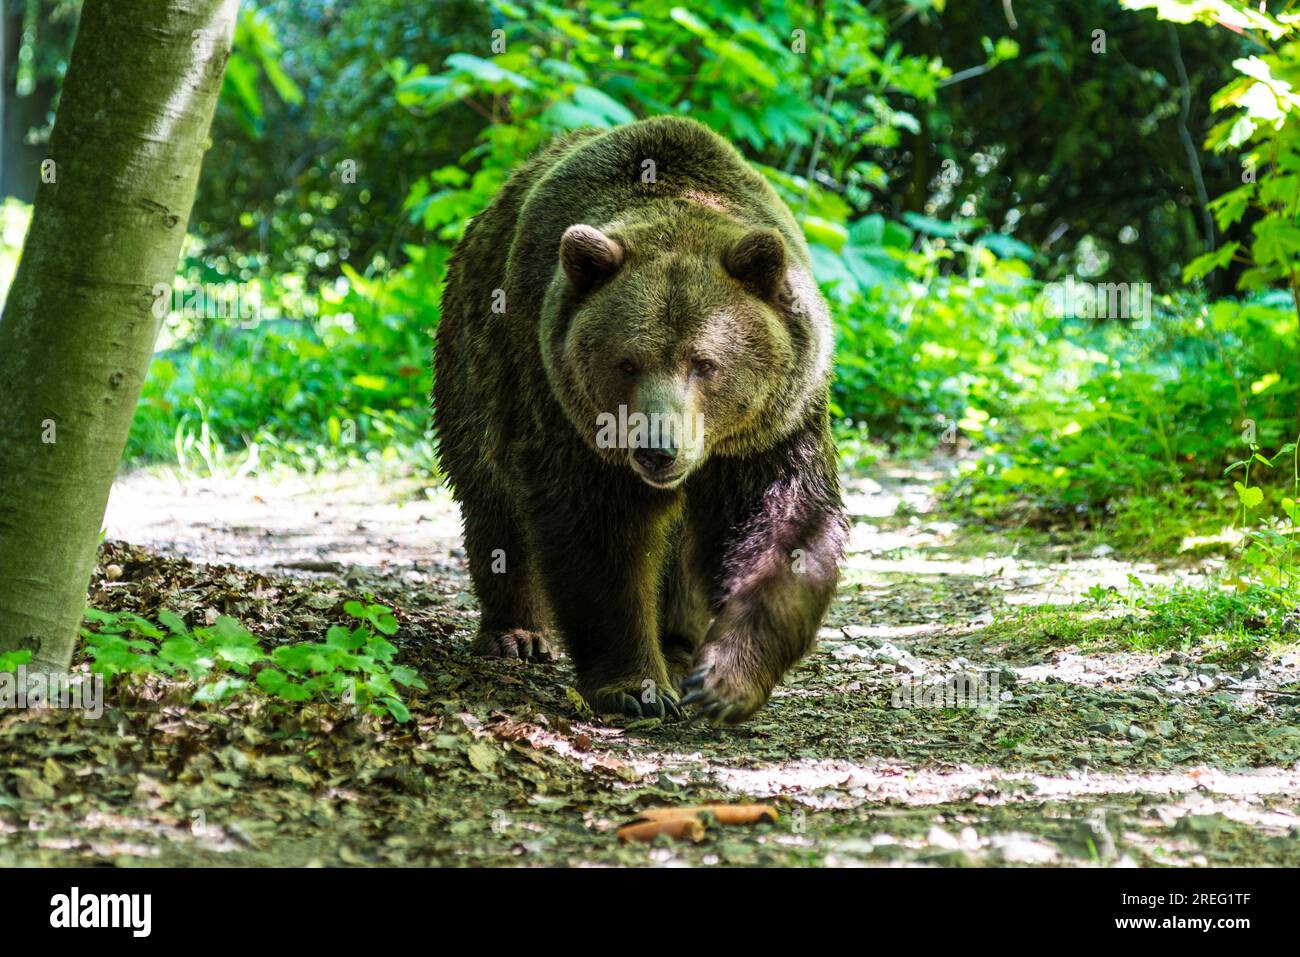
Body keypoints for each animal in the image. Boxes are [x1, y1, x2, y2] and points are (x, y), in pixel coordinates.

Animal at [433, 116, 847, 724]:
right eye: (627, 361)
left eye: (705, 363)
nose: (657, 448)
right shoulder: (568, 412)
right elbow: (598, 532)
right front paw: (635, 686)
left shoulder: (776, 424)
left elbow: (786, 523)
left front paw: (724, 679)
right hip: (477, 360)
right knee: (490, 490)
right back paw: (517, 632)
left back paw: (677, 643)